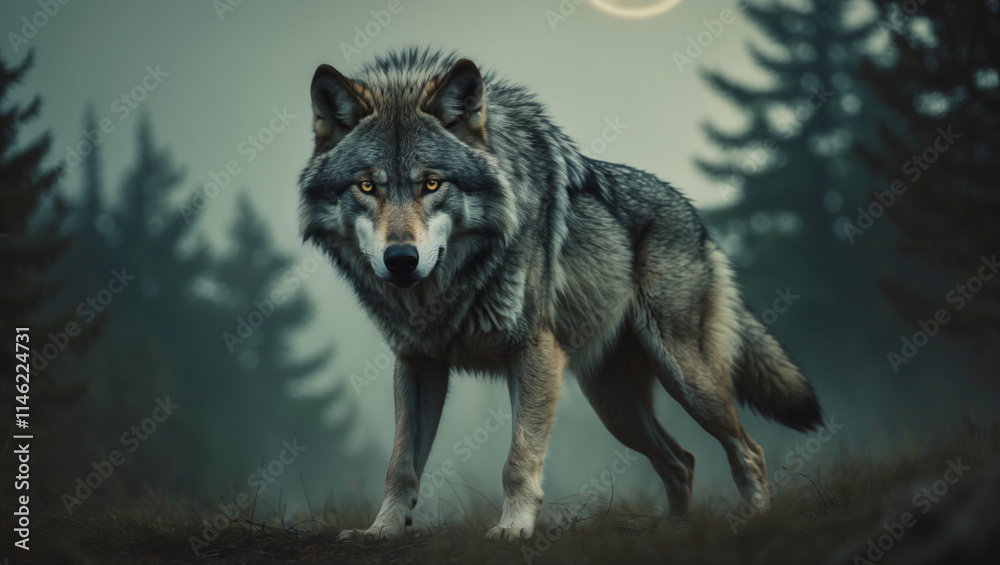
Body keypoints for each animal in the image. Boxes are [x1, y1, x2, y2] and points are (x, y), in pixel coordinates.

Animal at [299, 48, 823, 541]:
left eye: (432, 184)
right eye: (367, 186)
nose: (401, 259)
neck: (445, 293)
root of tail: (697, 218)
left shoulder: (534, 353)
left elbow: (518, 459)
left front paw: (513, 529)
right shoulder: (417, 362)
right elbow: (400, 464)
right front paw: (380, 531)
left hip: (685, 378)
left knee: (748, 450)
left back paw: (752, 519)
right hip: (615, 406)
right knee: (683, 460)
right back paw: (675, 529)